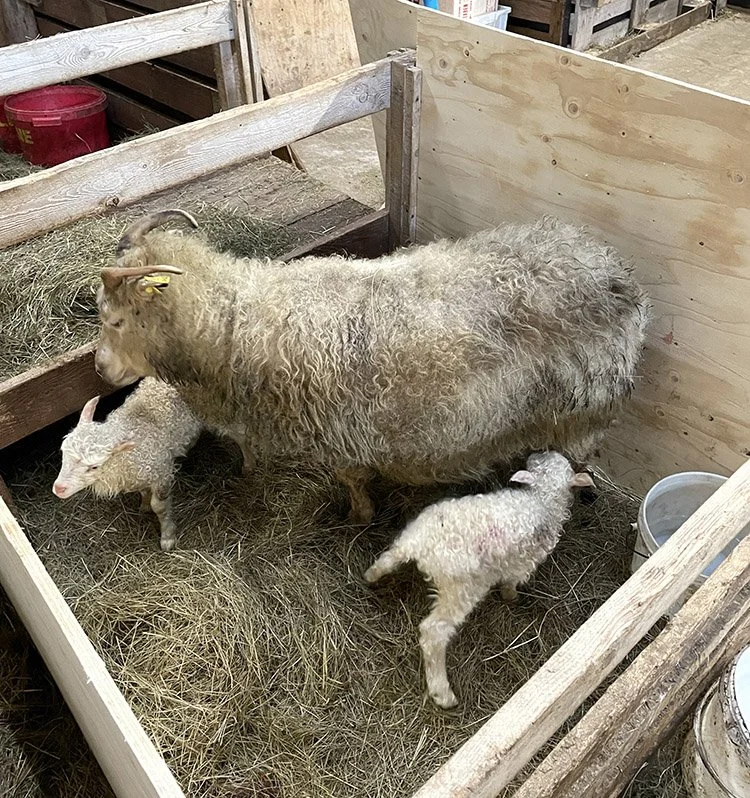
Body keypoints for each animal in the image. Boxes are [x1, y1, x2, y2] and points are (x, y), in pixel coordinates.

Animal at [52, 377, 202, 552]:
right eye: (63, 452)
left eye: (94, 467)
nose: (59, 488)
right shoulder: (142, 474)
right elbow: (144, 492)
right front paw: (144, 506)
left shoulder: (162, 474)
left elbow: (160, 507)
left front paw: (168, 537)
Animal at [93, 209, 649, 523]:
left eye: (114, 318)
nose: (99, 369)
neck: (237, 323)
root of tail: (617, 272)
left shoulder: (343, 431)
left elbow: (351, 479)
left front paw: (359, 517)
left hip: (583, 409)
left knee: (576, 464)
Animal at [364, 451, 594, 708]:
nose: (536, 452)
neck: (542, 501)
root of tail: (421, 546)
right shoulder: (523, 564)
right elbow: (511, 582)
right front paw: (511, 597)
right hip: (461, 588)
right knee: (433, 632)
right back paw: (442, 693)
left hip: (407, 540)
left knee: (386, 559)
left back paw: (371, 577)